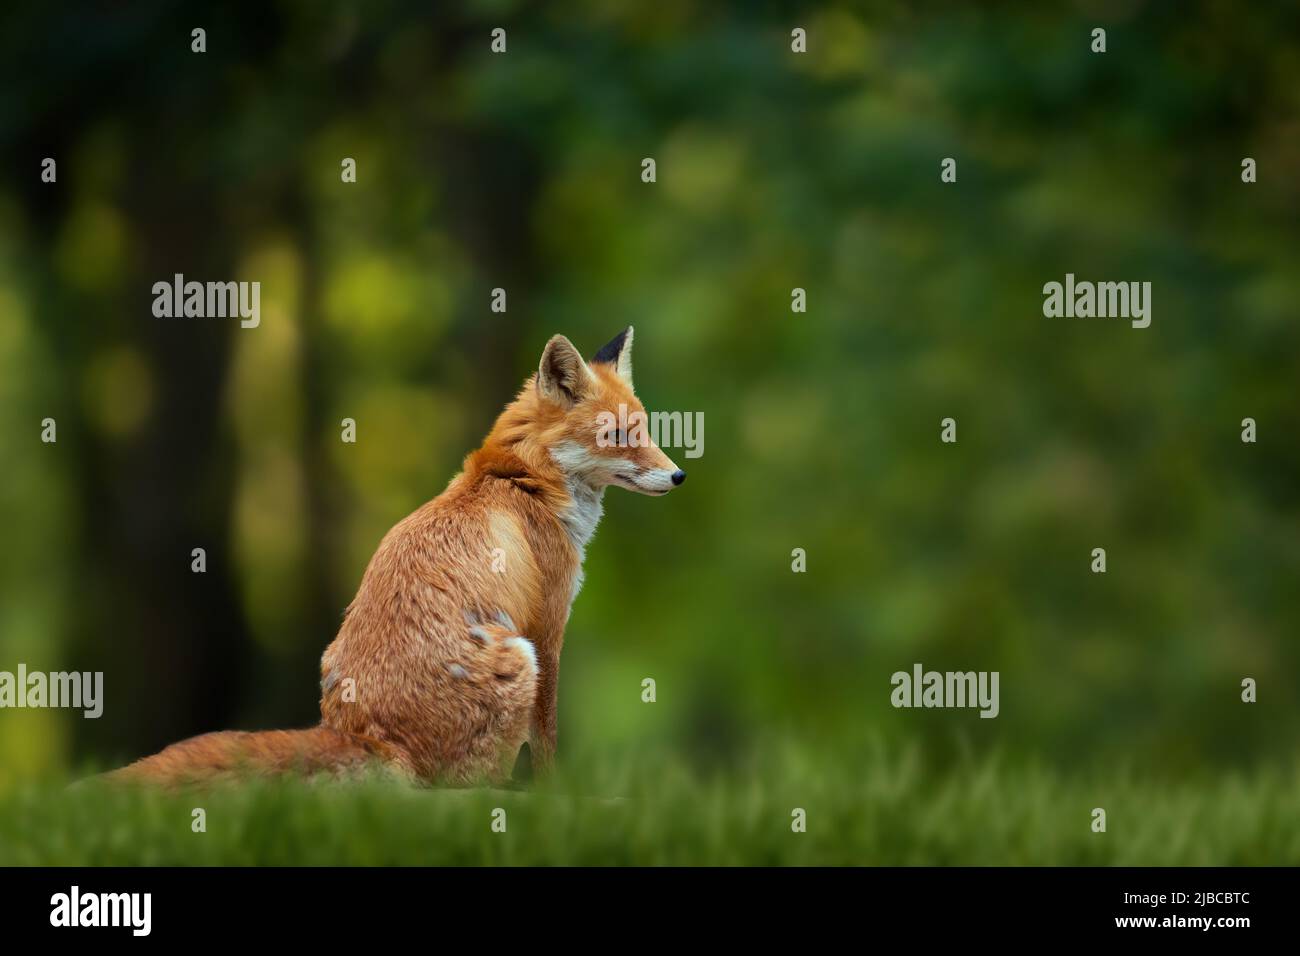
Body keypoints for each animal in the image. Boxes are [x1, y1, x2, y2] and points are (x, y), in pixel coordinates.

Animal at [106, 328, 685, 787]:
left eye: (646, 430)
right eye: (616, 435)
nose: (679, 475)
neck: (523, 482)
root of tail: (374, 738)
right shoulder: (548, 628)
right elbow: (548, 739)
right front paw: (553, 795)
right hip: (521, 660)